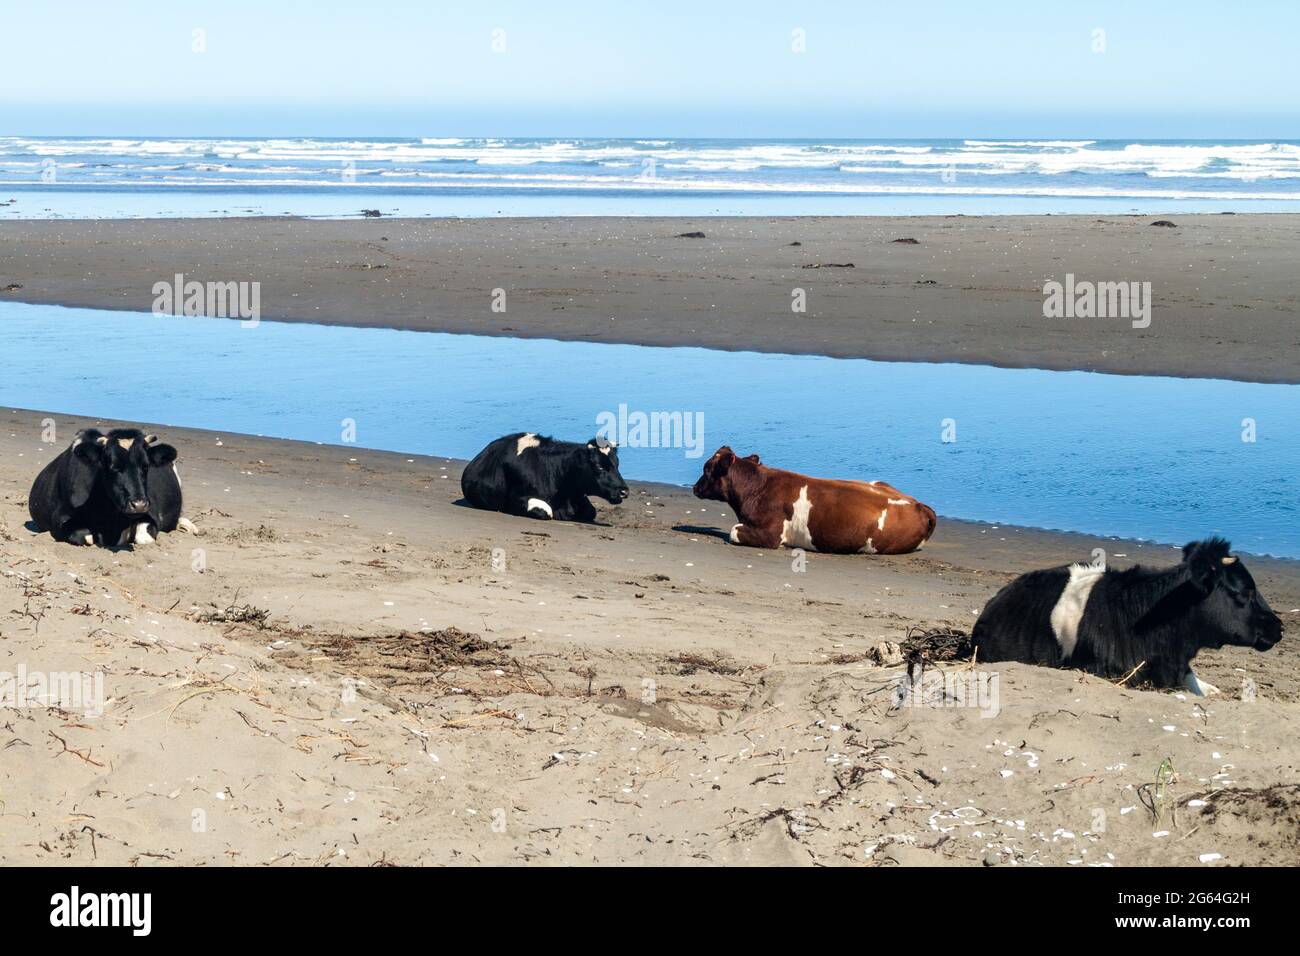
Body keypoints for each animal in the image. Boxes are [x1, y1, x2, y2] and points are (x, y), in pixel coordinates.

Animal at [28, 428, 199, 547]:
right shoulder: (60, 520)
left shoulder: (151, 513)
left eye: (145, 466)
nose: (139, 505)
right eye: (113, 467)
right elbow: (86, 536)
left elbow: (143, 537)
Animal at [460, 432, 629, 521]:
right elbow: (547, 511)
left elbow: (591, 511)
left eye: (617, 464)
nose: (624, 491)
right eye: (599, 466)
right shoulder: (516, 498)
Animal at [691, 446, 936, 554]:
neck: (756, 487)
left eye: (706, 468)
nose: (694, 487)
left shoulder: (771, 534)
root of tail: (920, 505)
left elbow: (733, 531)